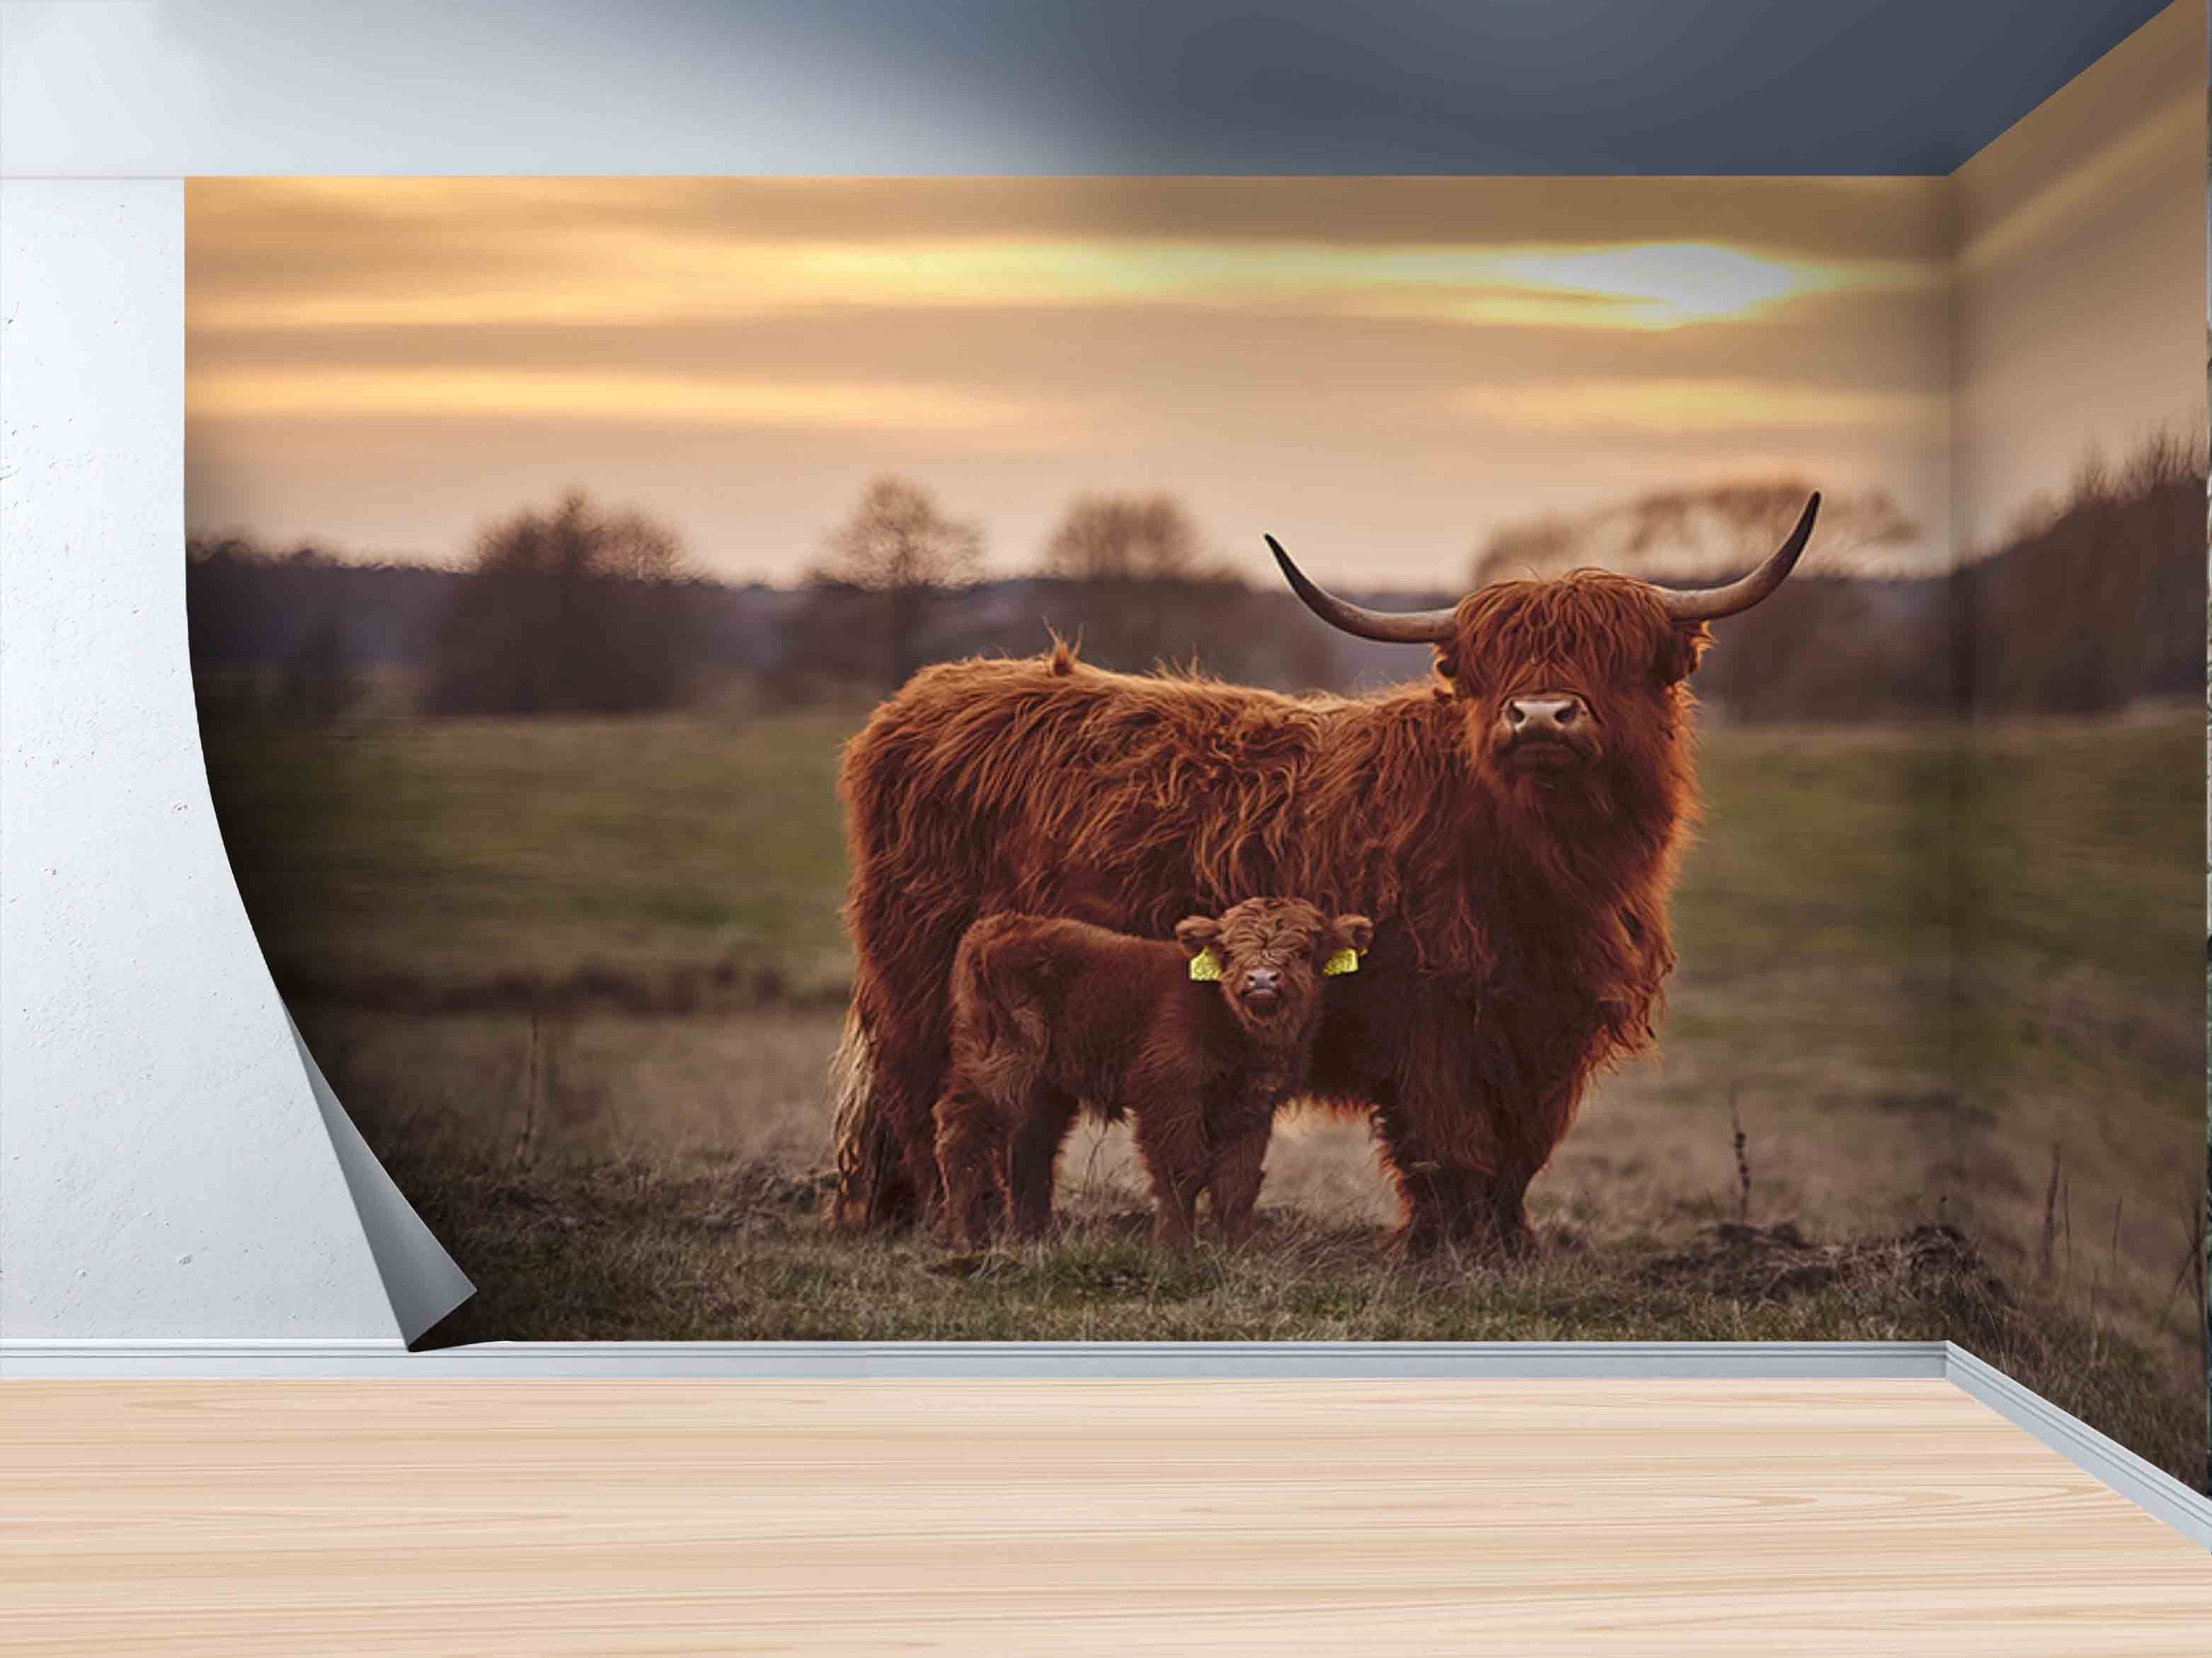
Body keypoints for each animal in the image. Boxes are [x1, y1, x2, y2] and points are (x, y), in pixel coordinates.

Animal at [933, 898, 1373, 1249]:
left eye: (1303, 950)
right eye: (1230, 951)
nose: (1262, 979)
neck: (1235, 1026)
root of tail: (999, 926)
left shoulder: (1253, 1107)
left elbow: (1237, 1181)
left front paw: (1240, 1252)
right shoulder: (1171, 1096)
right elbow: (1182, 1171)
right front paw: (1175, 1251)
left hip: (1043, 1084)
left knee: (1030, 1146)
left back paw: (1032, 1238)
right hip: (999, 1064)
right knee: (963, 1134)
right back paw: (964, 1239)